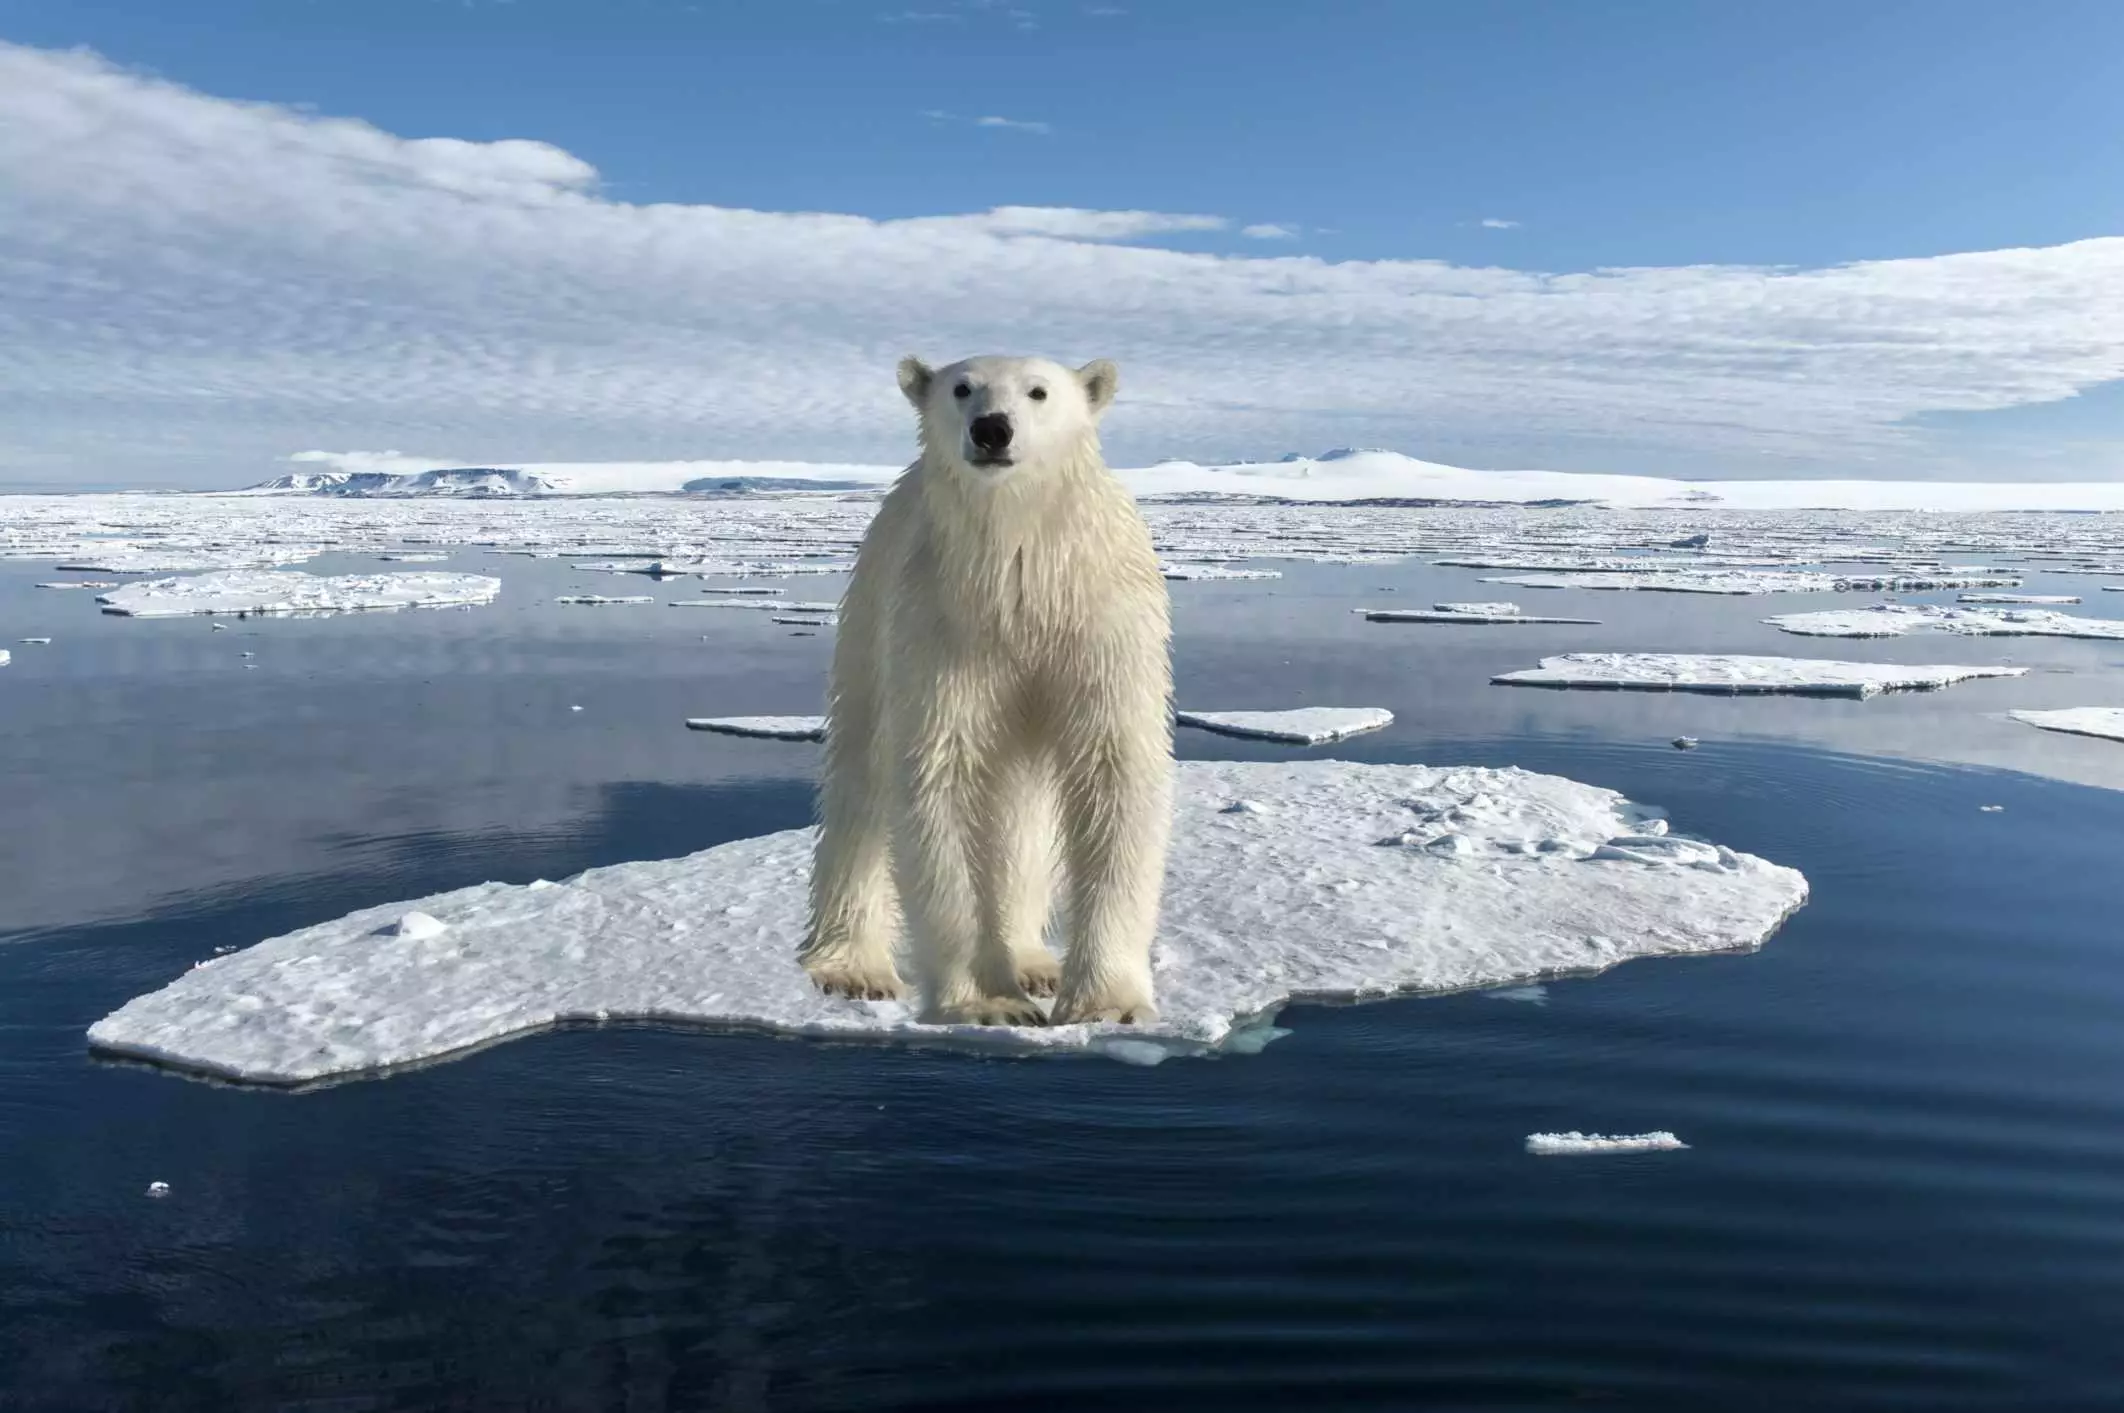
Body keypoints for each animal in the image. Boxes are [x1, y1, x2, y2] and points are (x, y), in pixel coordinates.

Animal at [798, 346, 1172, 1019]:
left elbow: (1115, 773)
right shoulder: (941, 627)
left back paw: (1033, 960)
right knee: (861, 778)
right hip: (869, 615)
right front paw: (990, 1002)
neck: (1019, 575)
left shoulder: (1100, 622)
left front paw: (1106, 1001)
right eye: (961, 388)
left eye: (1039, 392)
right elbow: (942, 778)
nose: (992, 429)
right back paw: (852, 967)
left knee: (1022, 809)